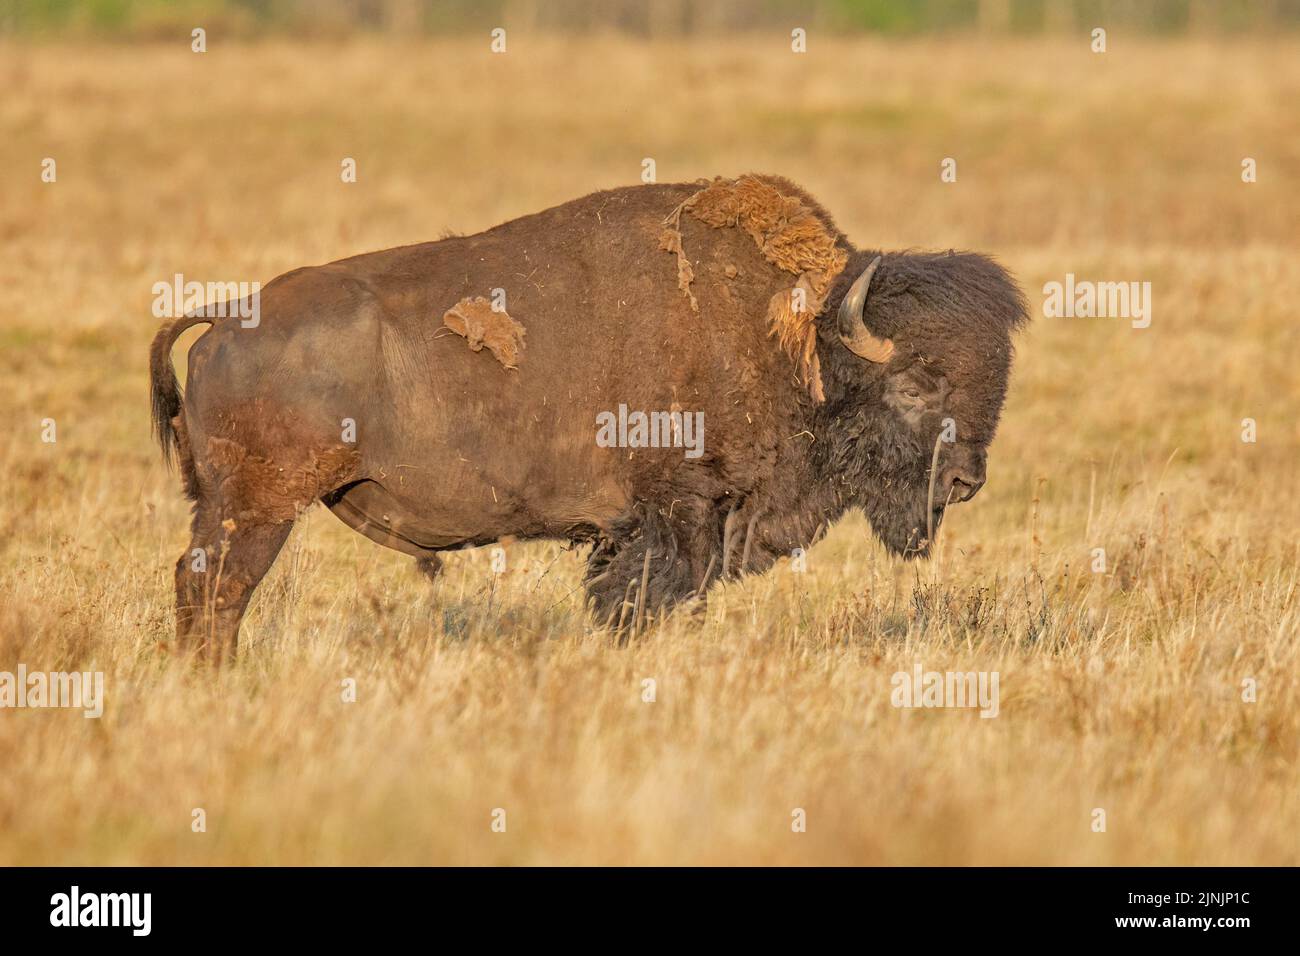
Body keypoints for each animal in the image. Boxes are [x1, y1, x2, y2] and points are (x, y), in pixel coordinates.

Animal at [150, 174, 1029, 660]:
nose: (965, 481)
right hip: (256, 510)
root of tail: (226, 318)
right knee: (215, 592)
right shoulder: (678, 514)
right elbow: (644, 603)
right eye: (917, 383)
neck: (794, 338)